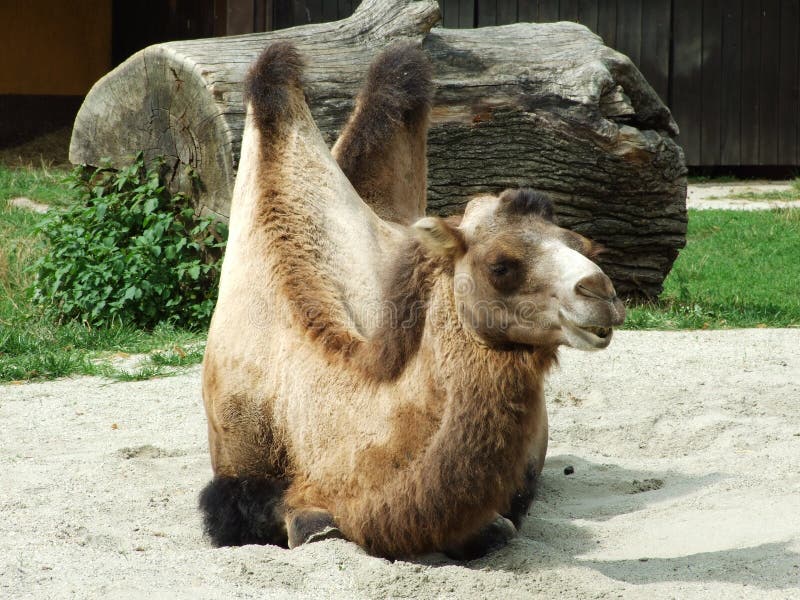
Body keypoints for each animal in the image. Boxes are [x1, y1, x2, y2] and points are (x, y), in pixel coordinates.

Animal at [199, 41, 626, 560]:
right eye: (500, 266)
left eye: (584, 246)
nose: (602, 294)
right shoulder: (233, 473)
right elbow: (305, 525)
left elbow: (497, 525)